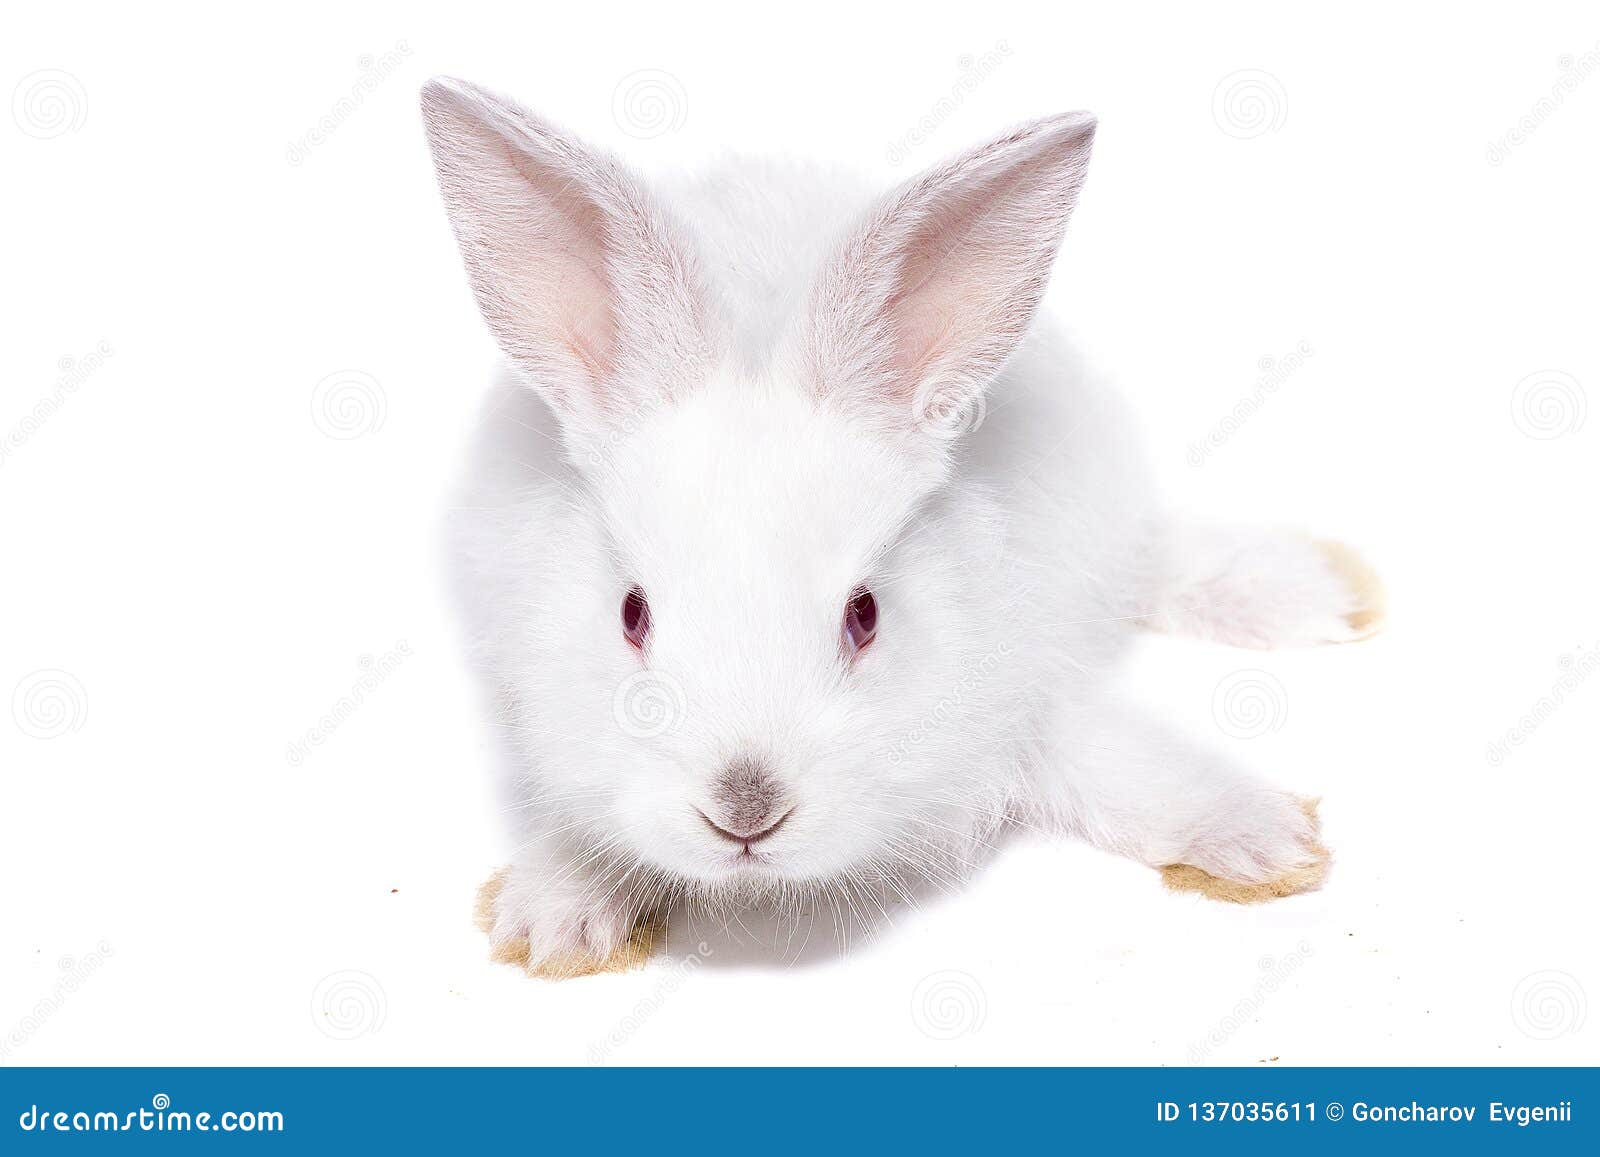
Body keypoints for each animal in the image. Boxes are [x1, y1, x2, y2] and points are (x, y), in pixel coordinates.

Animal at [420, 77, 1385, 976]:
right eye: (631, 613)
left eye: (866, 614)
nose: (745, 810)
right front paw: (555, 918)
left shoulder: (1023, 696)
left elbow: (1119, 767)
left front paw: (1267, 843)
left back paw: (1320, 589)